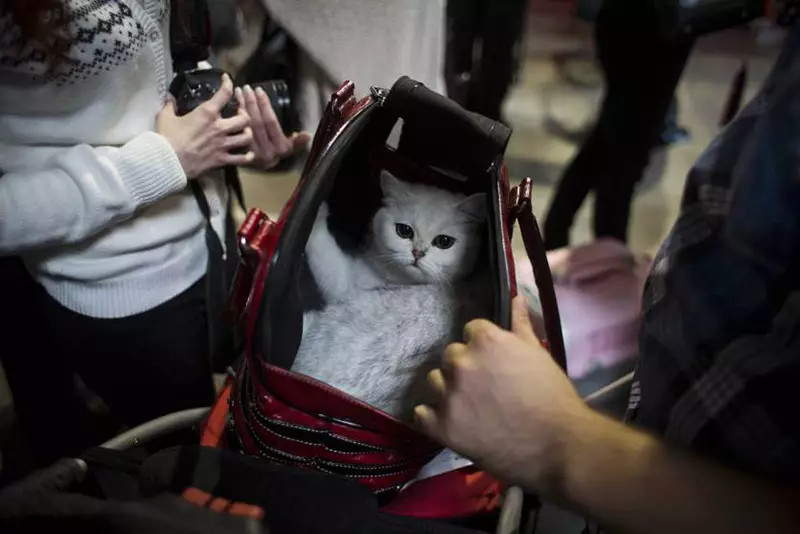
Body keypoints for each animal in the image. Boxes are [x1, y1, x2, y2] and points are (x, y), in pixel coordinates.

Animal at [292, 174, 488, 420]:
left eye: (444, 242)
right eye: (404, 231)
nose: (417, 253)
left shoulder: (344, 284)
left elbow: (324, 250)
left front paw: (318, 211)